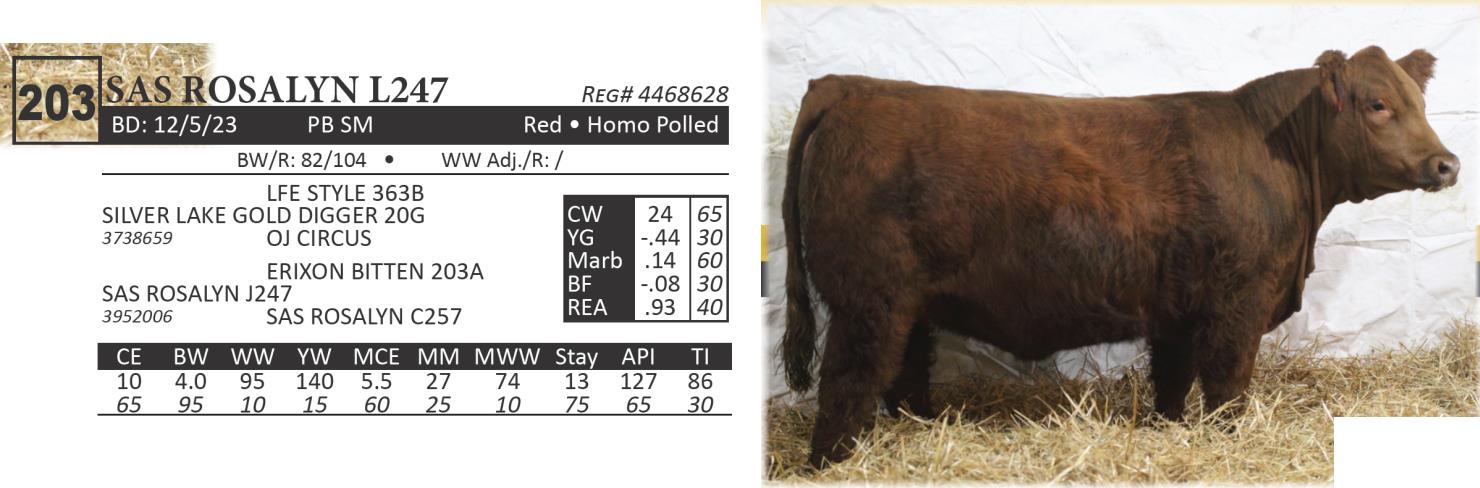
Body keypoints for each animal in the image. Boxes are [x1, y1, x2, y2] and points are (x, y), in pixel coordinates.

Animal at [780, 46, 1457, 468]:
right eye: (1377, 104)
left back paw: (918, 431)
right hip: (868, 302)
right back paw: (832, 463)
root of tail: (846, 87)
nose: (1446, 163)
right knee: (846, 384)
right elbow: (1228, 387)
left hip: (907, 304)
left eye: (1420, 103)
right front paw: (1228, 441)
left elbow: (1174, 382)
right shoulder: (1236, 305)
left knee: (904, 373)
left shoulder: (1180, 307)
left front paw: (1169, 431)